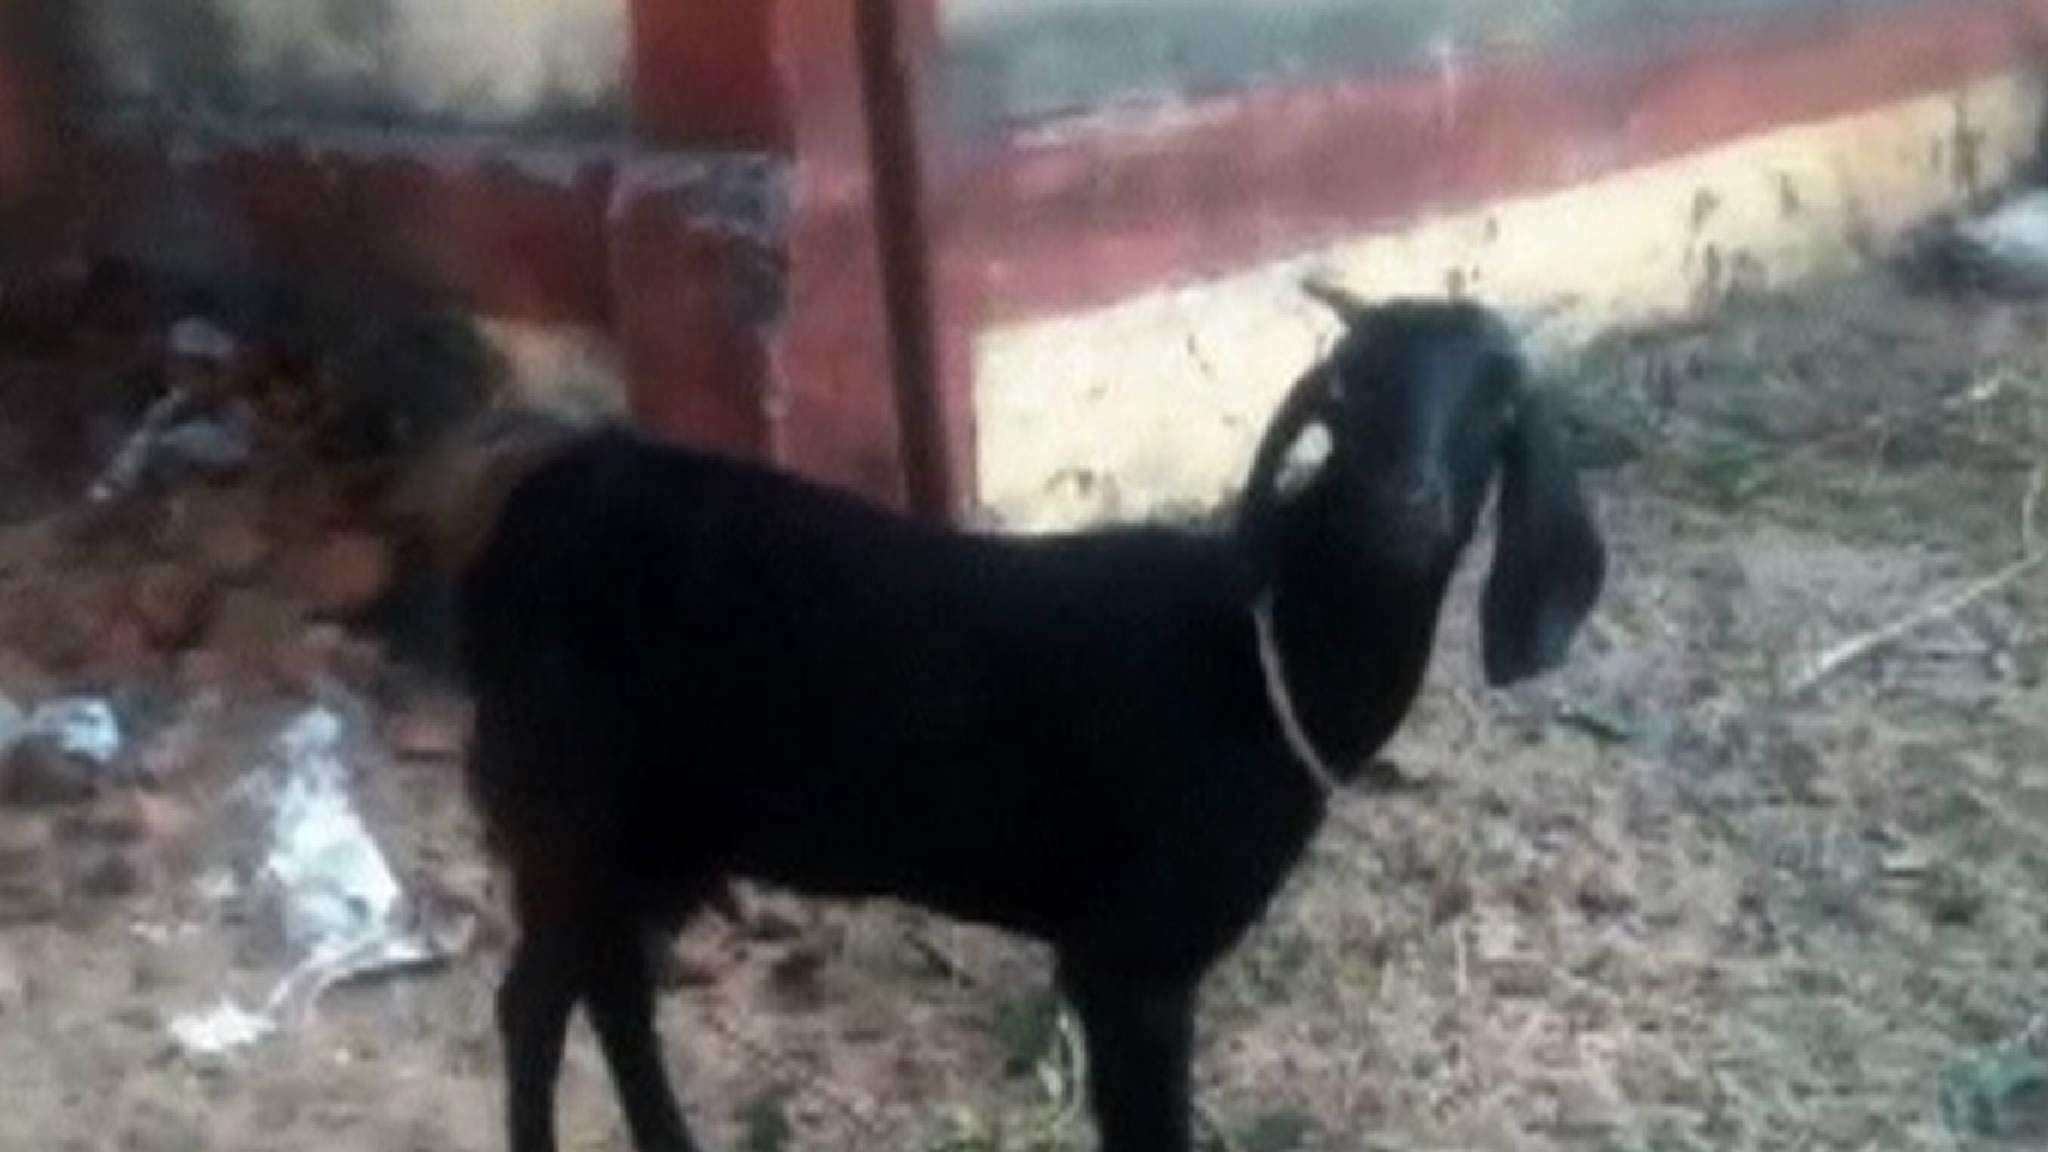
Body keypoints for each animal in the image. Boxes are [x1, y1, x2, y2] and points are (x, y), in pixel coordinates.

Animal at [454, 291, 1607, 1152]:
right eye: (1349, 393)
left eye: (1497, 407)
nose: (1398, 509)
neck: (1266, 653)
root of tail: (542, 505)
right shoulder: (1134, 960)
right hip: (572, 815)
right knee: (541, 1003)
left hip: (661, 841)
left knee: (602, 991)